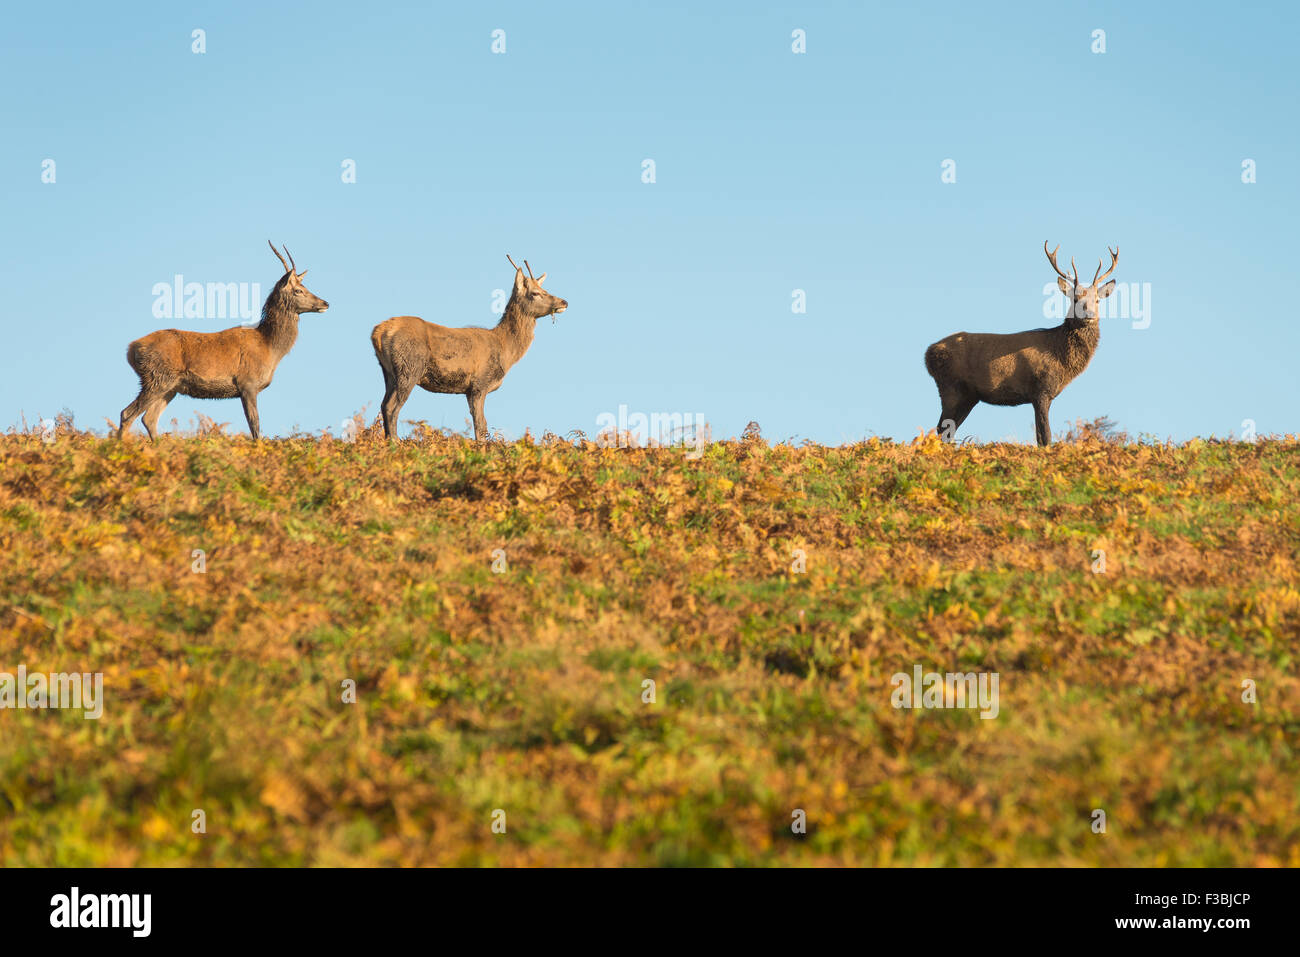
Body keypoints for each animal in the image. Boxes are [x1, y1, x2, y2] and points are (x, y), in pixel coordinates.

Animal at [118, 242, 329, 441]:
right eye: (298, 290)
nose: (325, 303)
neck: (270, 348)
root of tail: (131, 349)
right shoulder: (247, 383)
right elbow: (255, 426)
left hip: (170, 386)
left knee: (148, 418)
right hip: (158, 376)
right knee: (127, 413)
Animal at [371, 255, 567, 440]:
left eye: (545, 290)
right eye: (535, 293)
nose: (564, 302)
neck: (505, 350)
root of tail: (377, 332)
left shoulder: (467, 390)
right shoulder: (480, 383)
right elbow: (481, 426)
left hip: (388, 372)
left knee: (383, 405)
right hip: (409, 367)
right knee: (392, 407)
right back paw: (395, 442)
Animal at [924, 241, 1118, 446]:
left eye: (1097, 300)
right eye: (1075, 299)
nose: (1089, 315)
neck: (1060, 356)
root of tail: (927, 355)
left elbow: (1040, 437)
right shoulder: (1040, 389)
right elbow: (1045, 436)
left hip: (968, 396)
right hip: (950, 387)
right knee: (940, 430)